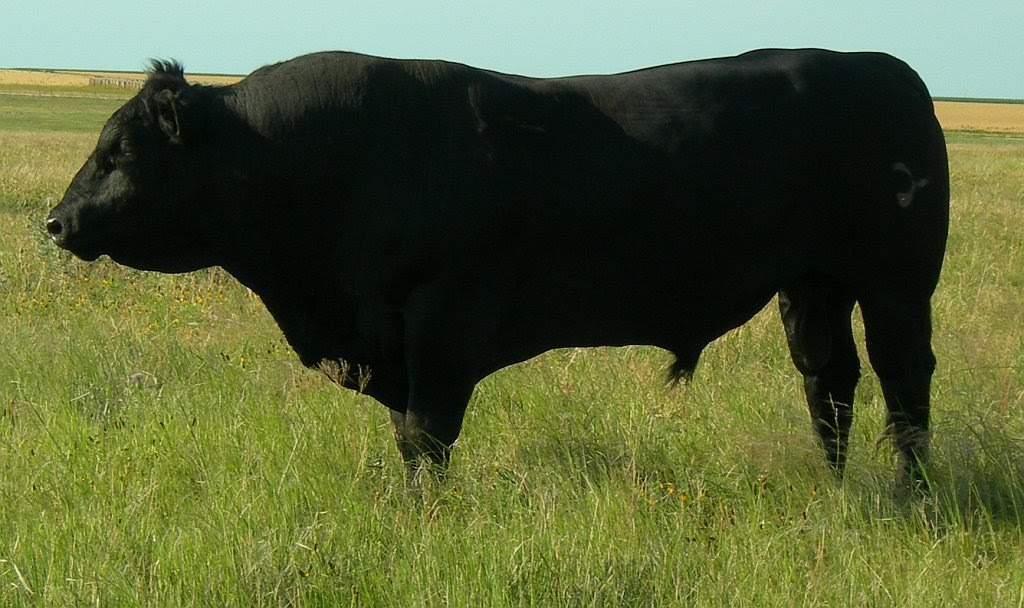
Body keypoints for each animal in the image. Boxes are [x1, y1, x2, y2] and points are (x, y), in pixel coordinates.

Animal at [46, 49, 949, 492]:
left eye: (120, 152)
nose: (56, 221)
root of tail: (887, 69)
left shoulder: (441, 325)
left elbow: (426, 432)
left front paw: (425, 515)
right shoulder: (393, 340)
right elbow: (407, 434)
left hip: (898, 286)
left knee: (904, 386)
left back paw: (908, 496)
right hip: (813, 285)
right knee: (828, 382)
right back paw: (833, 487)